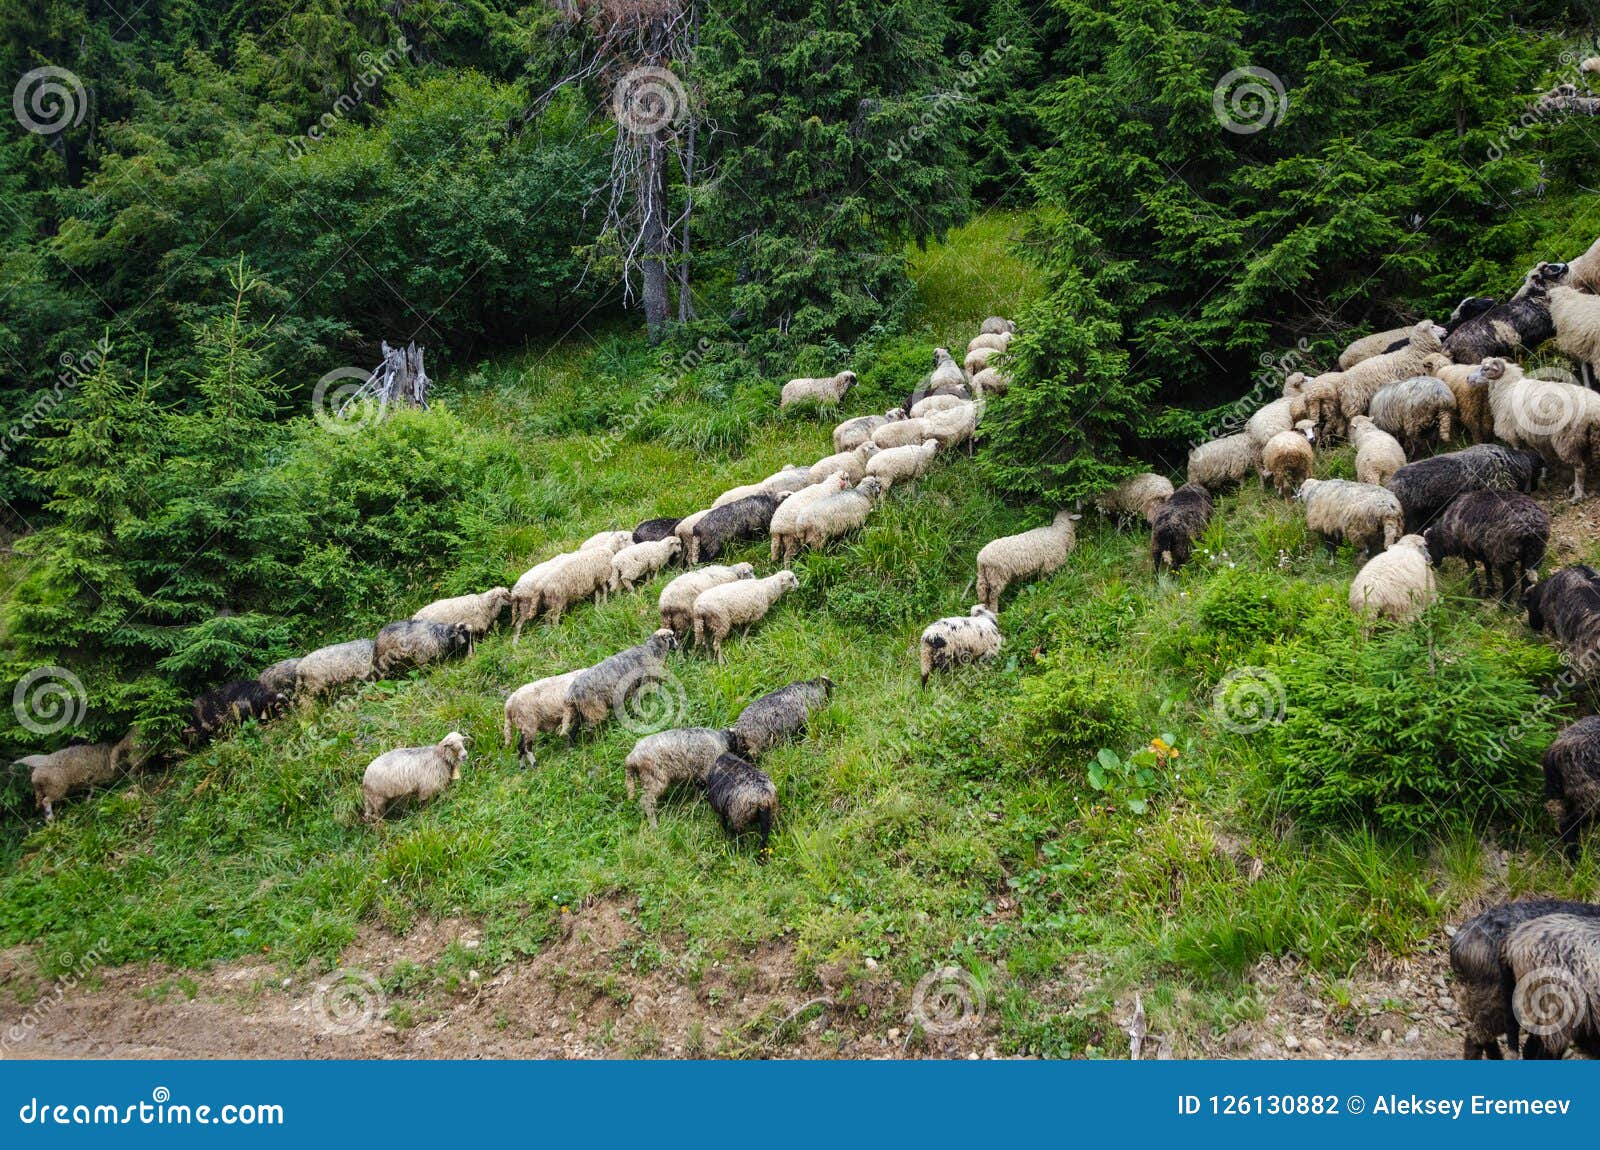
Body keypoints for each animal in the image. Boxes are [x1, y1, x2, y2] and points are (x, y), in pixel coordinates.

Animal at [1472, 356, 1600, 500]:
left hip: (1566, 438)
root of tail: (1594, 409)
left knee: (1580, 467)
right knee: (1584, 462)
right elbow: (1541, 455)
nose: (1468, 378)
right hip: (1582, 437)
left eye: (1486, 369)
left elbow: (1516, 449)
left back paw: (1577, 495)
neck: (1507, 387)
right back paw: (1573, 486)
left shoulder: (1510, 430)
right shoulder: (1536, 436)